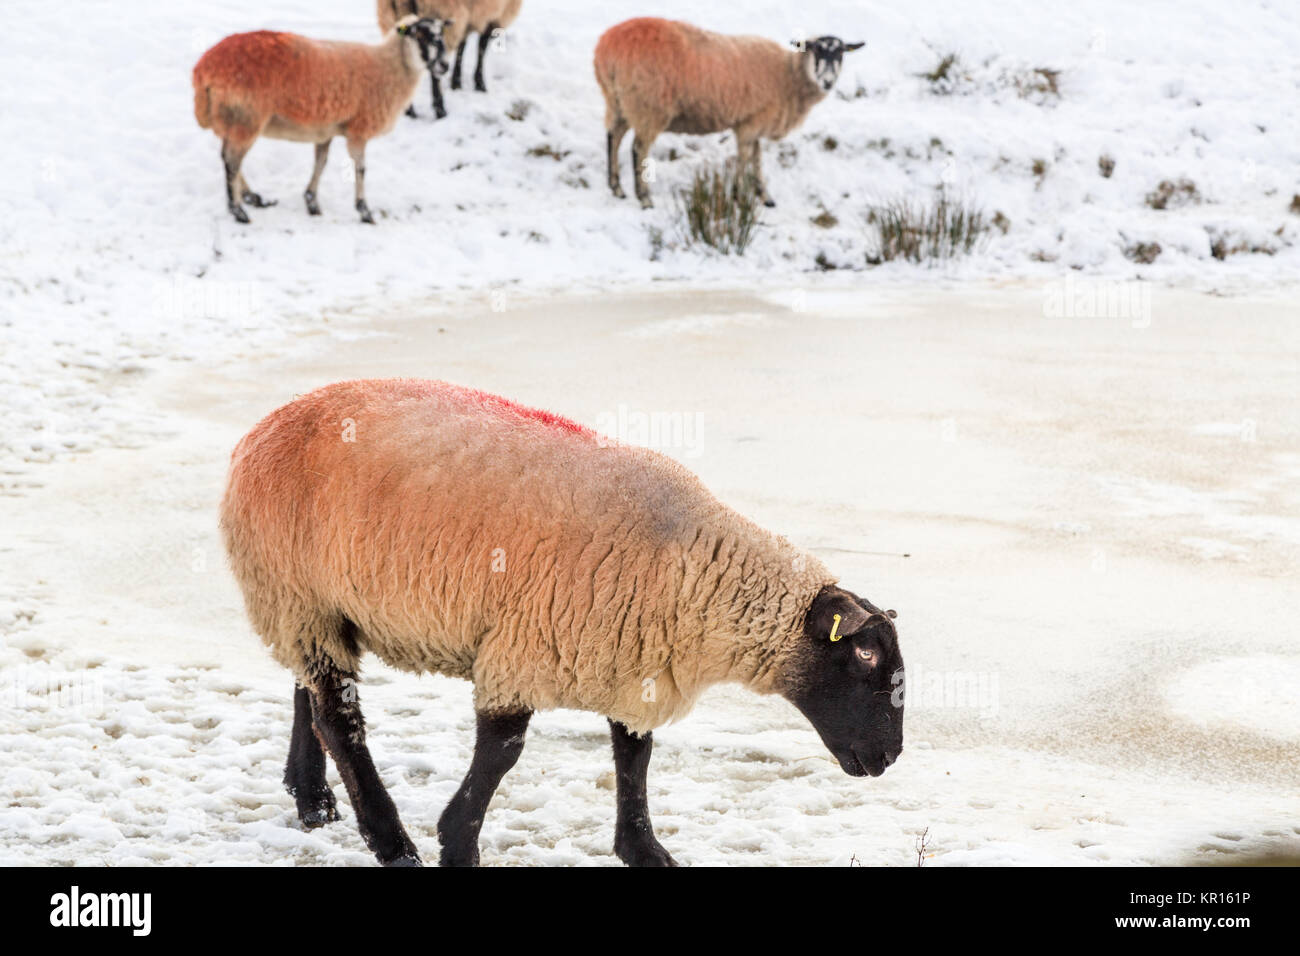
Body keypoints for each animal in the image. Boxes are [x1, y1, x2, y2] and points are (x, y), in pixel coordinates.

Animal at [192, 16, 450, 224]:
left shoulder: (326, 130)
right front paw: (364, 211)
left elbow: (320, 163)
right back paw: (238, 211)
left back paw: (252, 197)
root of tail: (203, 69)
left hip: (232, 117)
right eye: (420, 35)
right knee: (232, 161)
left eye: (441, 35)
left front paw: (311, 202)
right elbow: (360, 169)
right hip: (246, 115)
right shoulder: (358, 129)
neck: (389, 67)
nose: (444, 65)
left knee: (229, 156)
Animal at [220, 378, 905, 866]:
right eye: (867, 658)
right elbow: (503, 754)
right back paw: (392, 844)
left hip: (315, 604)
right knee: (340, 720)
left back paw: (312, 802)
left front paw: (644, 850)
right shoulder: (521, 649)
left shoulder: (632, 657)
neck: (691, 572)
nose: (890, 758)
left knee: (311, 696)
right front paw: (456, 842)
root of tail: (264, 425)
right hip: (296, 592)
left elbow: (635, 756)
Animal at [594, 18, 864, 208]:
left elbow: (757, 158)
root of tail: (608, 49)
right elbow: (745, 158)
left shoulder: (756, 122)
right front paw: (736, 195)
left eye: (841, 53)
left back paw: (616, 187)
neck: (788, 75)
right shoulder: (750, 123)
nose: (827, 81)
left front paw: (764, 195)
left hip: (618, 101)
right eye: (817, 51)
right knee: (638, 148)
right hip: (647, 105)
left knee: (613, 137)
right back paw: (644, 197)